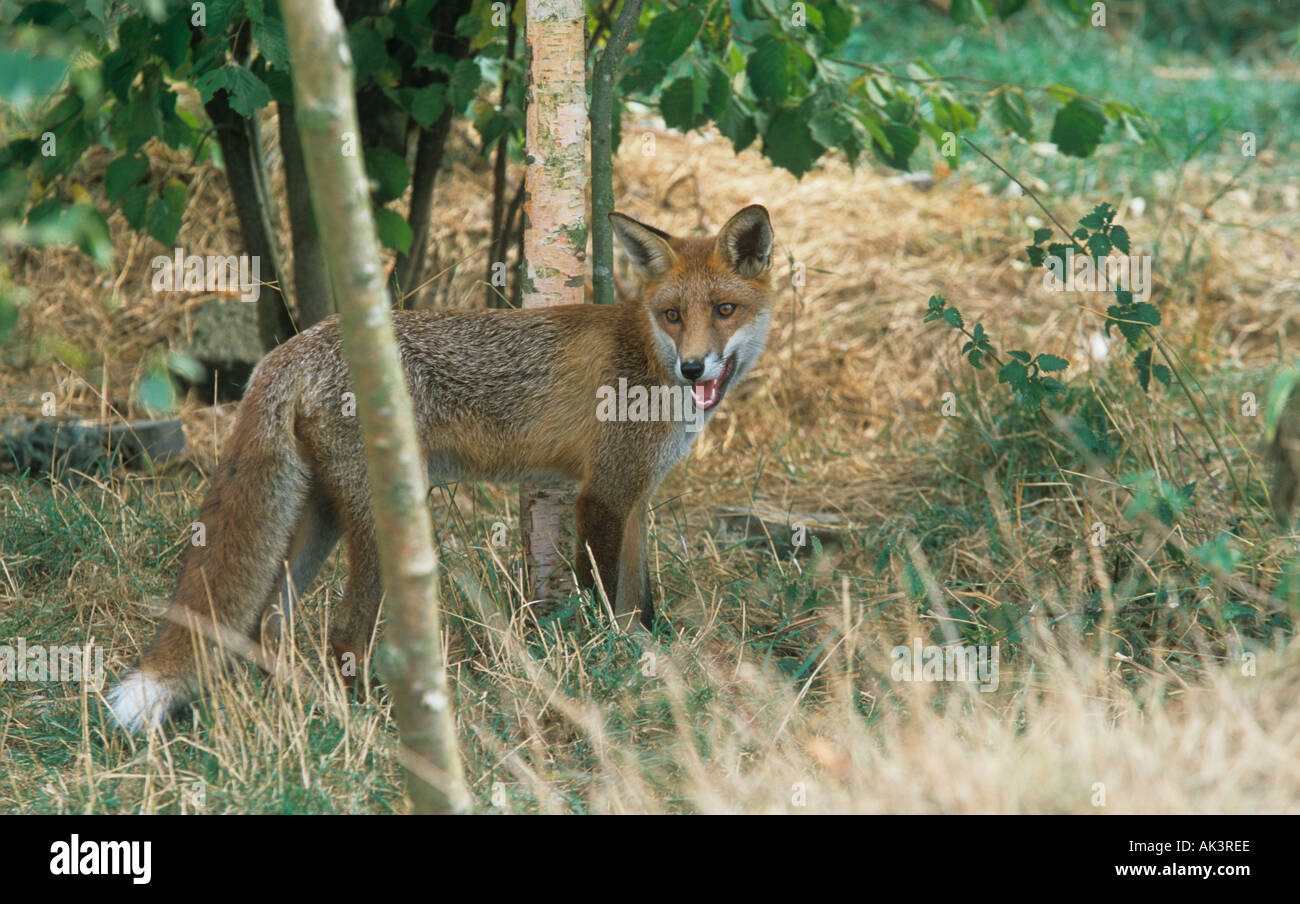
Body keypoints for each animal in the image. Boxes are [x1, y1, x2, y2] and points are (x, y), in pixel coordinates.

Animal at [106, 204, 775, 732]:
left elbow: (643, 602)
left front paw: (651, 660)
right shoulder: (603, 497)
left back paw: (272, 711)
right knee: (342, 631)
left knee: (261, 625)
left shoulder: (635, 499)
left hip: (319, 516)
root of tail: (291, 347)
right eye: (672, 315)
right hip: (380, 518)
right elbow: (611, 605)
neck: (649, 364)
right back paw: (367, 723)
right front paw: (616, 668)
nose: (693, 368)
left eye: (723, 309)